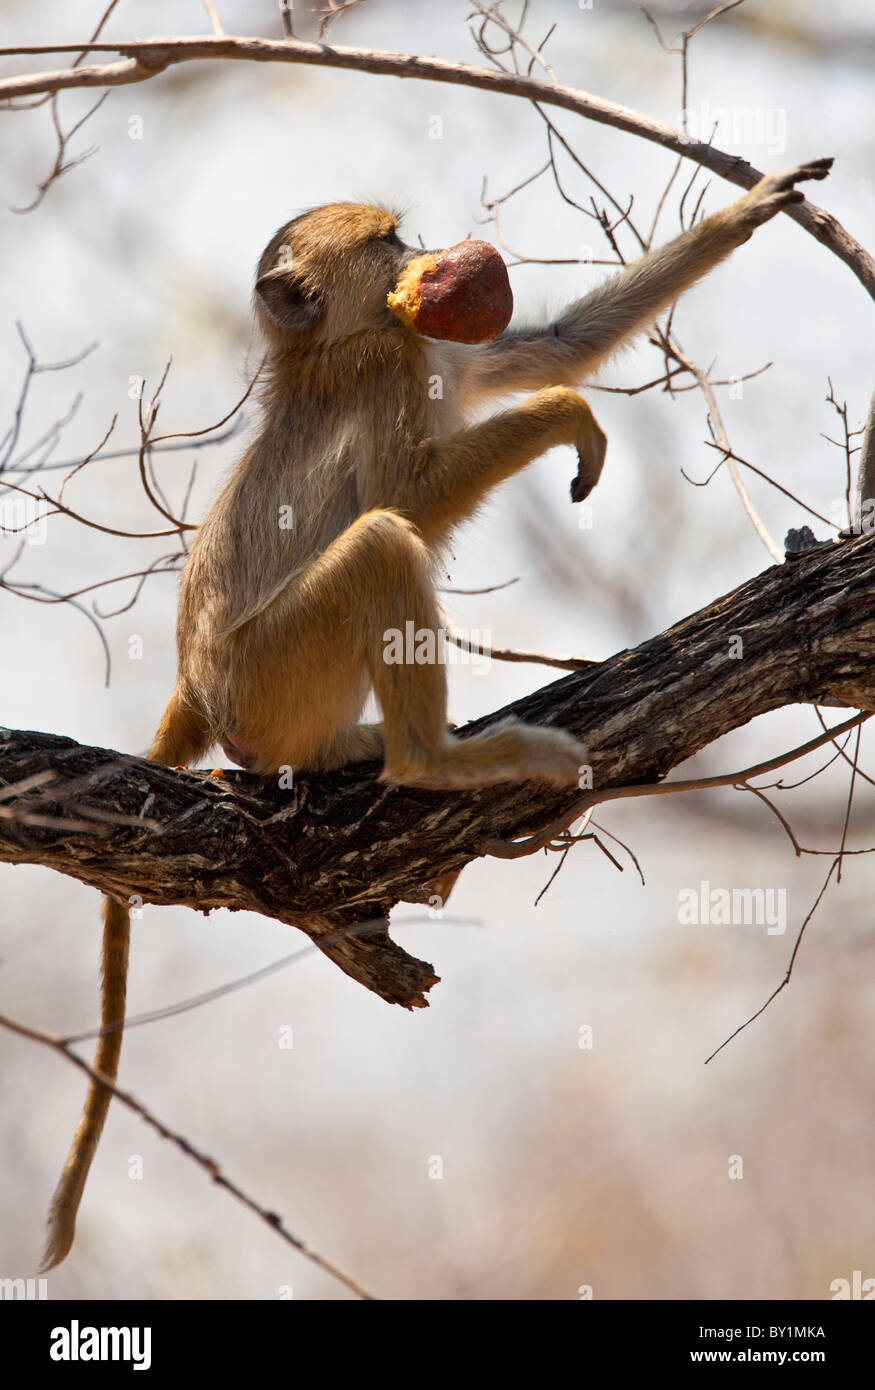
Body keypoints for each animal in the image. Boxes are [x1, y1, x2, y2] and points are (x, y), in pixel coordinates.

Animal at [40, 157, 832, 1269]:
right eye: (389, 242)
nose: (425, 258)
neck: (334, 343)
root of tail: (200, 684)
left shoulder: (424, 353)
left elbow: (554, 345)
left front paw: (754, 205)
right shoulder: (391, 365)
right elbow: (410, 494)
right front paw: (567, 418)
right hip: (271, 673)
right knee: (381, 540)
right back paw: (431, 762)